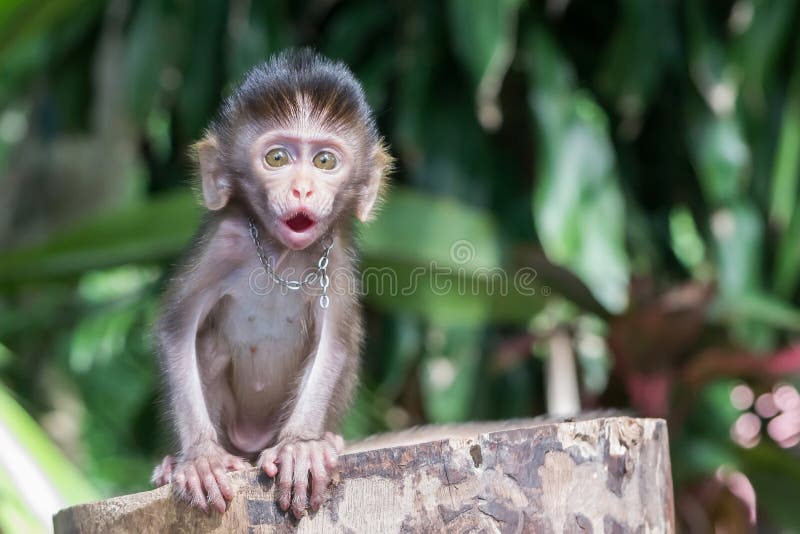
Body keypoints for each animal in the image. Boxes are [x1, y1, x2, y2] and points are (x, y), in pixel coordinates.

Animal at [149, 49, 391, 519]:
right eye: (277, 159)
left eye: (324, 162)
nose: (301, 191)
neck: (279, 254)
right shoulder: (223, 243)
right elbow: (177, 329)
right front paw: (200, 459)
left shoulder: (335, 260)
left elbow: (334, 342)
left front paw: (301, 450)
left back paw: (325, 440)